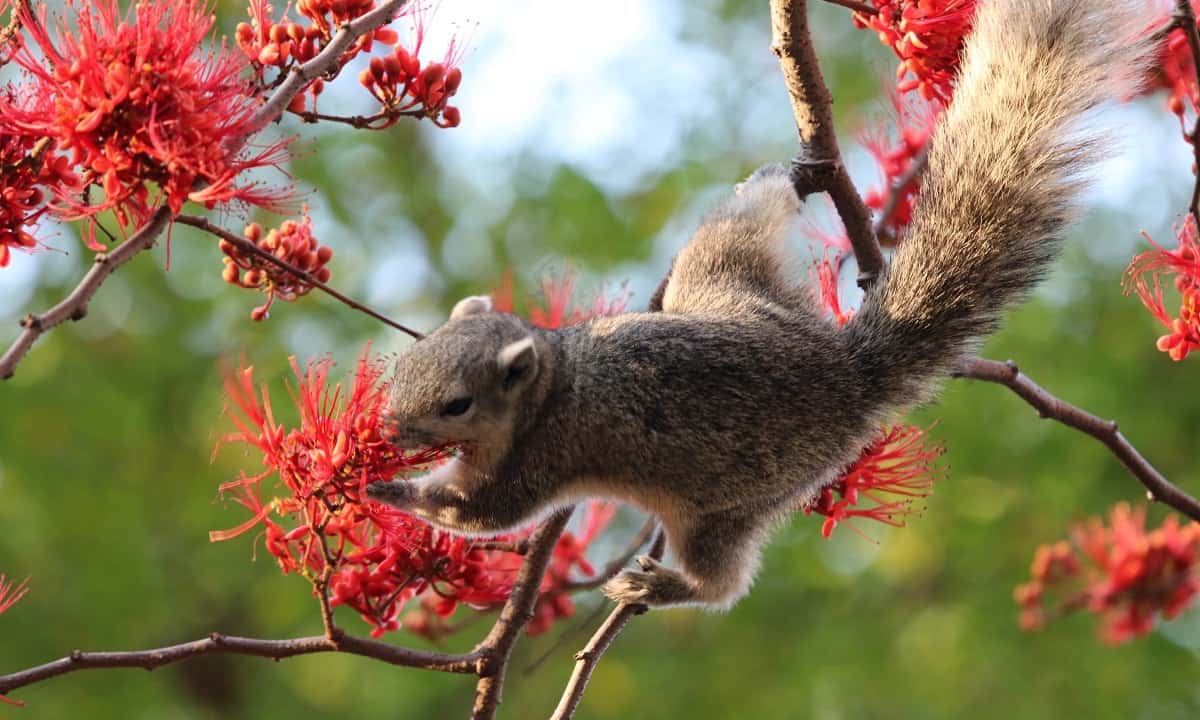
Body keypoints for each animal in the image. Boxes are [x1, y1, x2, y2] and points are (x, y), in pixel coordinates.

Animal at [367, 0, 1149, 609]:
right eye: (407, 364)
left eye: (458, 404)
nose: (394, 434)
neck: (556, 379)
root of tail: (844, 374)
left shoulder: (539, 460)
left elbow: (478, 514)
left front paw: (390, 491)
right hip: (720, 277)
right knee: (742, 221)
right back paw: (789, 174)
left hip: (726, 506)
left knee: (721, 582)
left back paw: (664, 586)